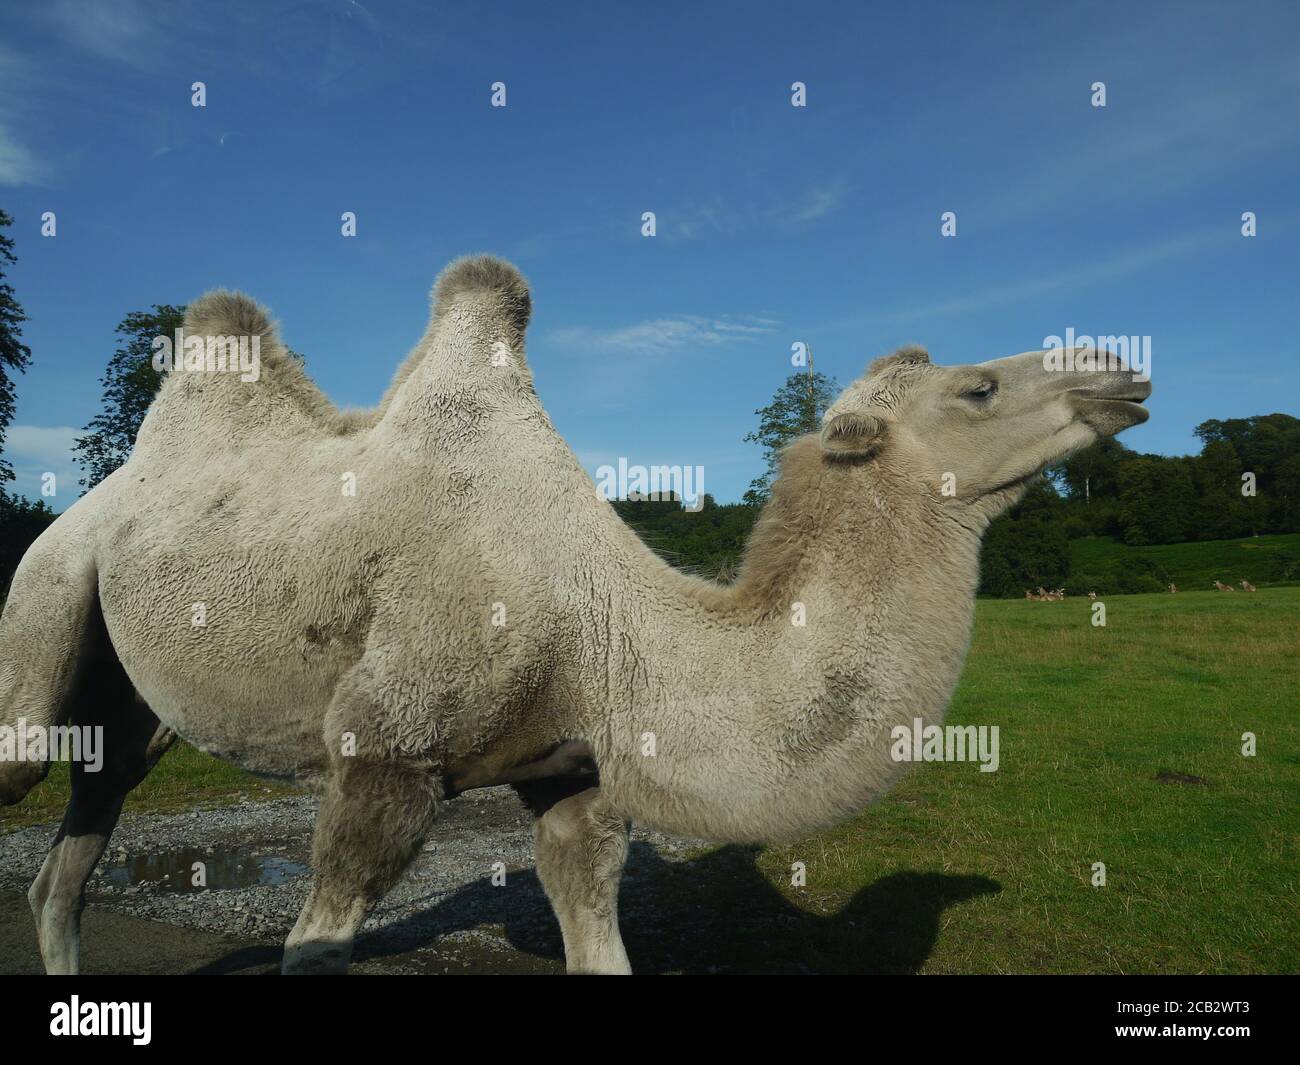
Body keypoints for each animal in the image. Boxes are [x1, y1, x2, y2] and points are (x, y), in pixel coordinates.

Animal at [0, 256, 1152, 975]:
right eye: (978, 386)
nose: (1121, 369)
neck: (608, 631)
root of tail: (97, 501)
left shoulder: (573, 776)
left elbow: (595, 925)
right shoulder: (384, 754)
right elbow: (314, 943)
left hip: (130, 708)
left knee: (70, 855)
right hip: (48, 590)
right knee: (25, 773)